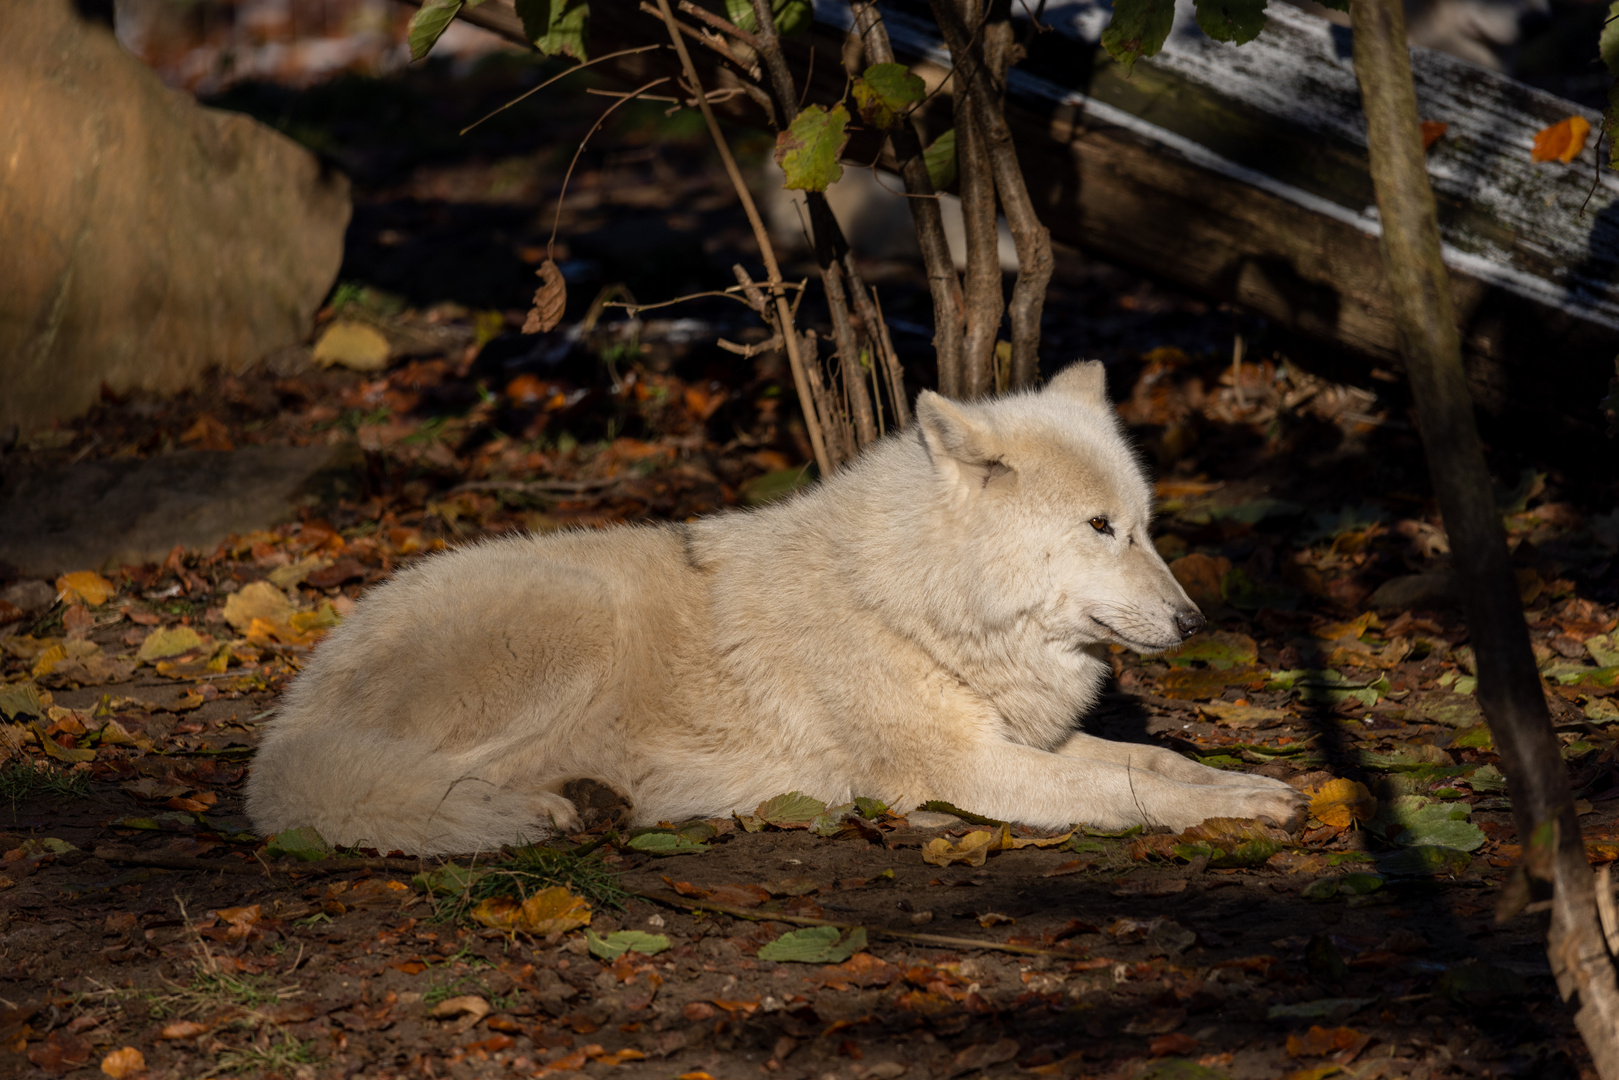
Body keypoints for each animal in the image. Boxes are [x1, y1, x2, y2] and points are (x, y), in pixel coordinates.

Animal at [246, 362, 1301, 854]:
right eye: (1099, 528)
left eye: (1145, 528)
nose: (1196, 623)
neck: (910, 605)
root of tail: (289, 728)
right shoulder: (963, 772)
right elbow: (1125, 791)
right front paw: (1236, 808)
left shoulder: (1016, 743)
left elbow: (1150, 761)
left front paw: (1238, 784)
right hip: (574, 618)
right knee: (426, 786)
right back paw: (549, 805)